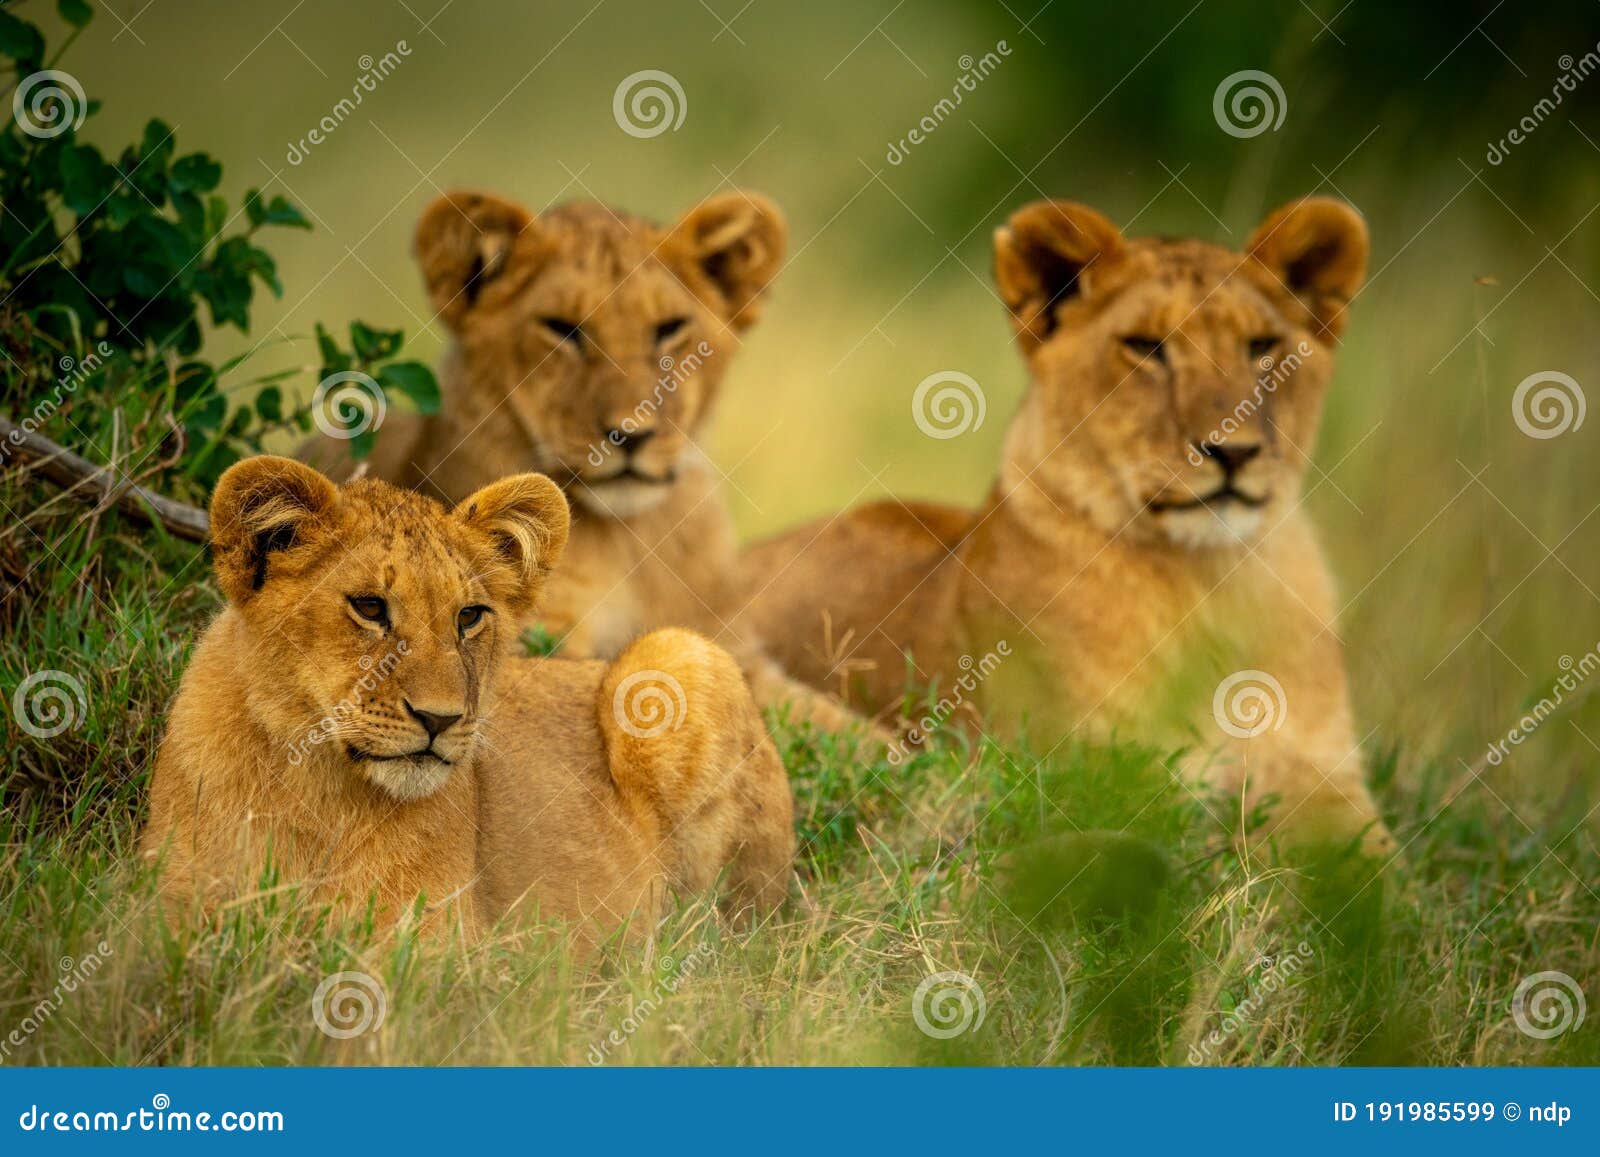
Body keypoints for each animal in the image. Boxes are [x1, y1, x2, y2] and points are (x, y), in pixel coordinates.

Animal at [140, 455, 795, 937]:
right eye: (370, 607)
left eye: (469, 616)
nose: (439, 718)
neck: (317, 790)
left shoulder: (444, 960)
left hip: (679, 652)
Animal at [301, 190, 874, 740]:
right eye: (562, 329)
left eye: (669, 328)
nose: (632, 432)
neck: (630, 545)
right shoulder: (530, 637)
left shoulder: (736, 646)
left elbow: (843, 729)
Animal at [739, 197, 1393, 856]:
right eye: (1146, 347)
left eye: (1262, 345)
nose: (1232, 451)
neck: (1209, 579)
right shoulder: (1095, 772)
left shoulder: (1325, 775)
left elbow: (1380, 869)